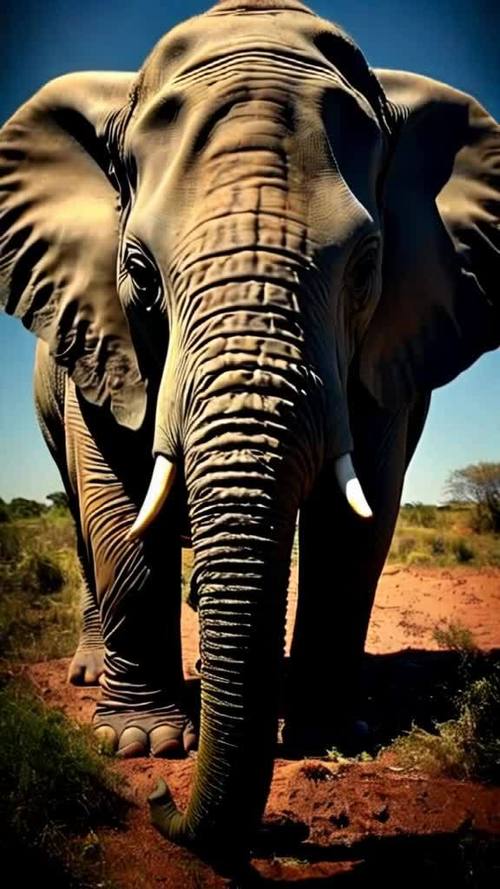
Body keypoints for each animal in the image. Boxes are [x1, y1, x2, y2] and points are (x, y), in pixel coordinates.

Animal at [1, 0, 498, 867]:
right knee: (82, 528)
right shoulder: (98, 330)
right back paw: (93, 676)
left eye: (367, 266)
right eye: (137, 270)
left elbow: (357, 518)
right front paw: (142, 745)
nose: (162, 803)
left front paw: (331, 735)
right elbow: (118, 507)